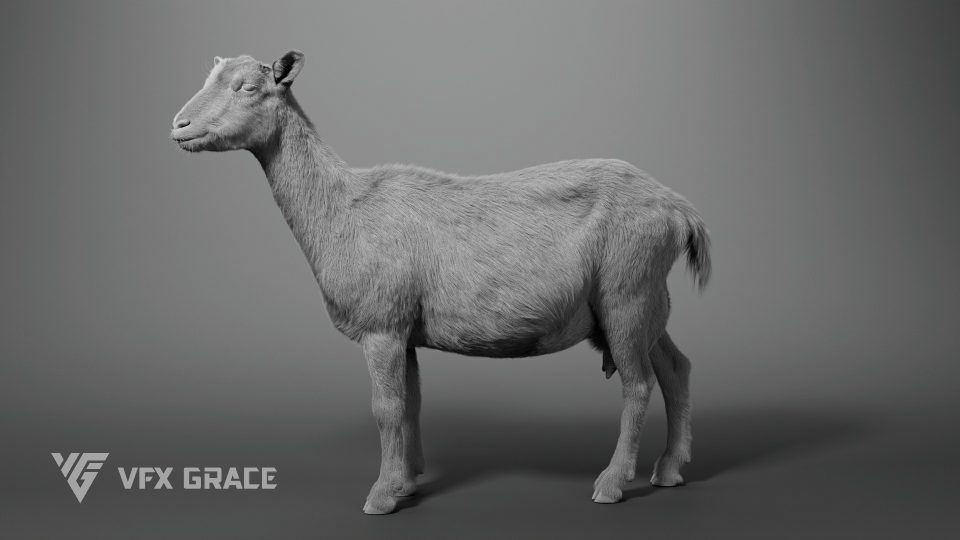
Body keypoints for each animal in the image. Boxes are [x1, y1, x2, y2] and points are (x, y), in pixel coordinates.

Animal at [171, 51, 711, 514]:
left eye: (248, 87)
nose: (179, 125)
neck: (342, 208)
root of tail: (679, 208)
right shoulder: (405, 331)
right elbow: (411, 404)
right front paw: (406, 482)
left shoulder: (381, 327)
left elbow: (386, 408)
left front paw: (381, 496)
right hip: (647, 299)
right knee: (675, 367)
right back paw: (669, 469)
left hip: (625, 291)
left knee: (638, 385)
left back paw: (612, 482)